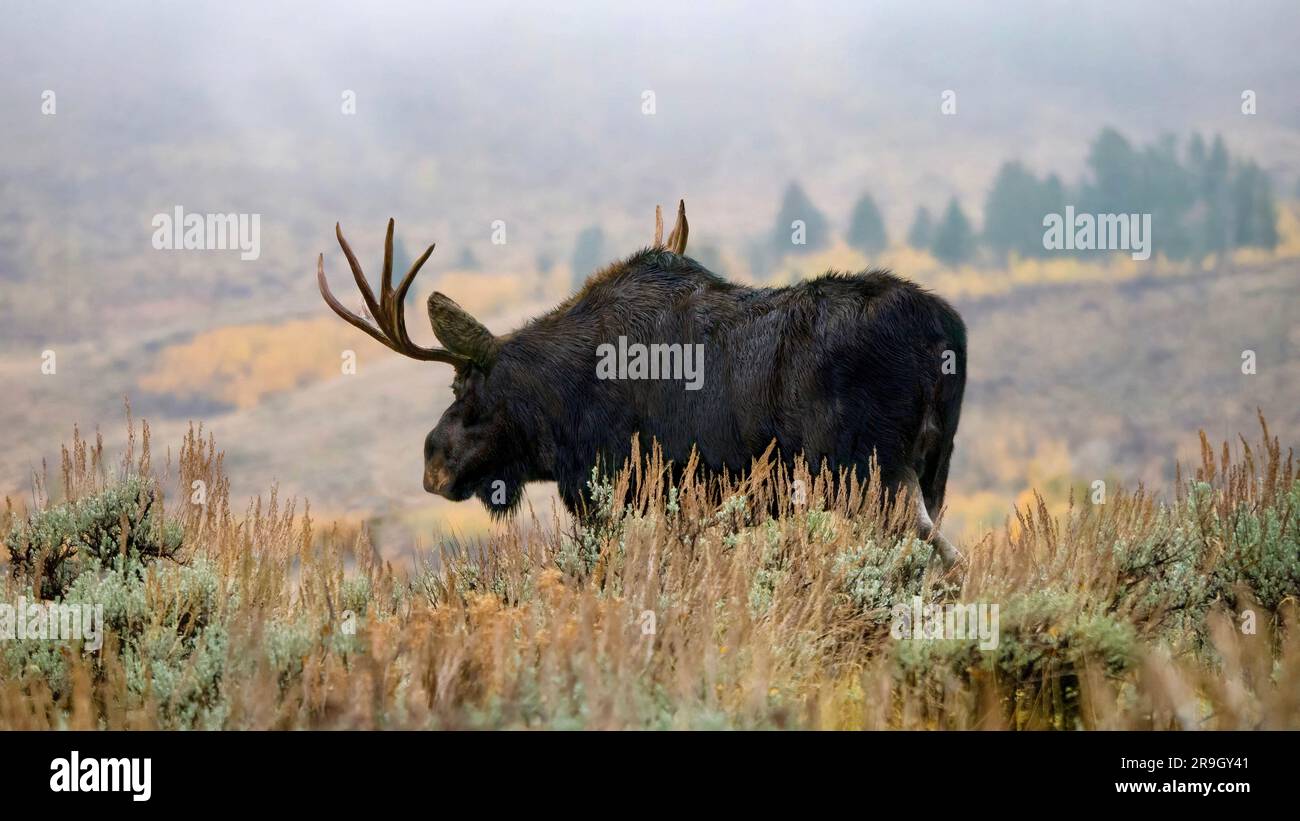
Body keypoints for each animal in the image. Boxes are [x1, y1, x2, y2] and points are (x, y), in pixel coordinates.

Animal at [317, 201, 966, 567]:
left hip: (875, 473)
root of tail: (945, 329)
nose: (432, 462)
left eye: (461, 389)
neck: (557, 408)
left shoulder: (612, 491)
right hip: (932, 468)